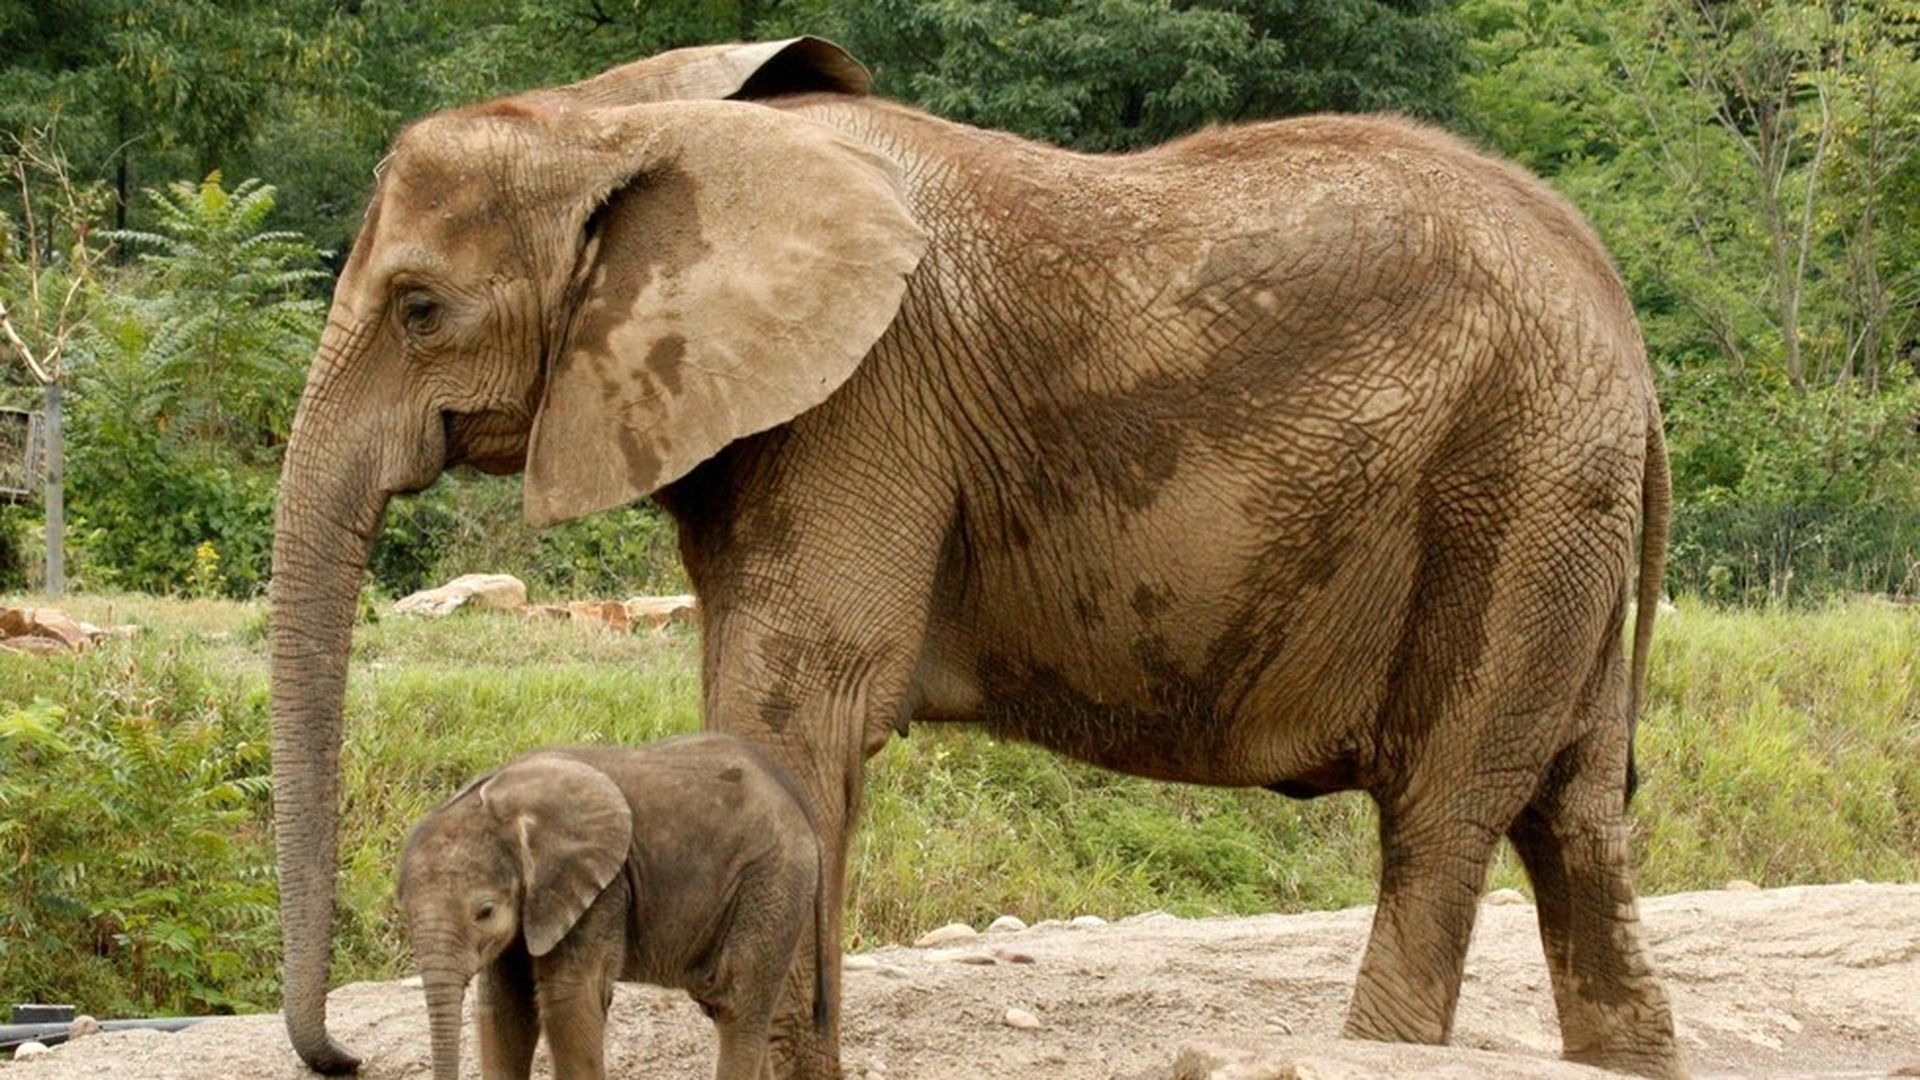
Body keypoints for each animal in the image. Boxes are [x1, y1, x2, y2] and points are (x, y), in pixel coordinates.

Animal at [396, 735, 826, 1080]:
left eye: (484, 912)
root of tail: (793, 792)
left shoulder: (601, 889)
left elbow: (569, 1001)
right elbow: (504, 1007)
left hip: (772, 878)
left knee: (735, 1003)